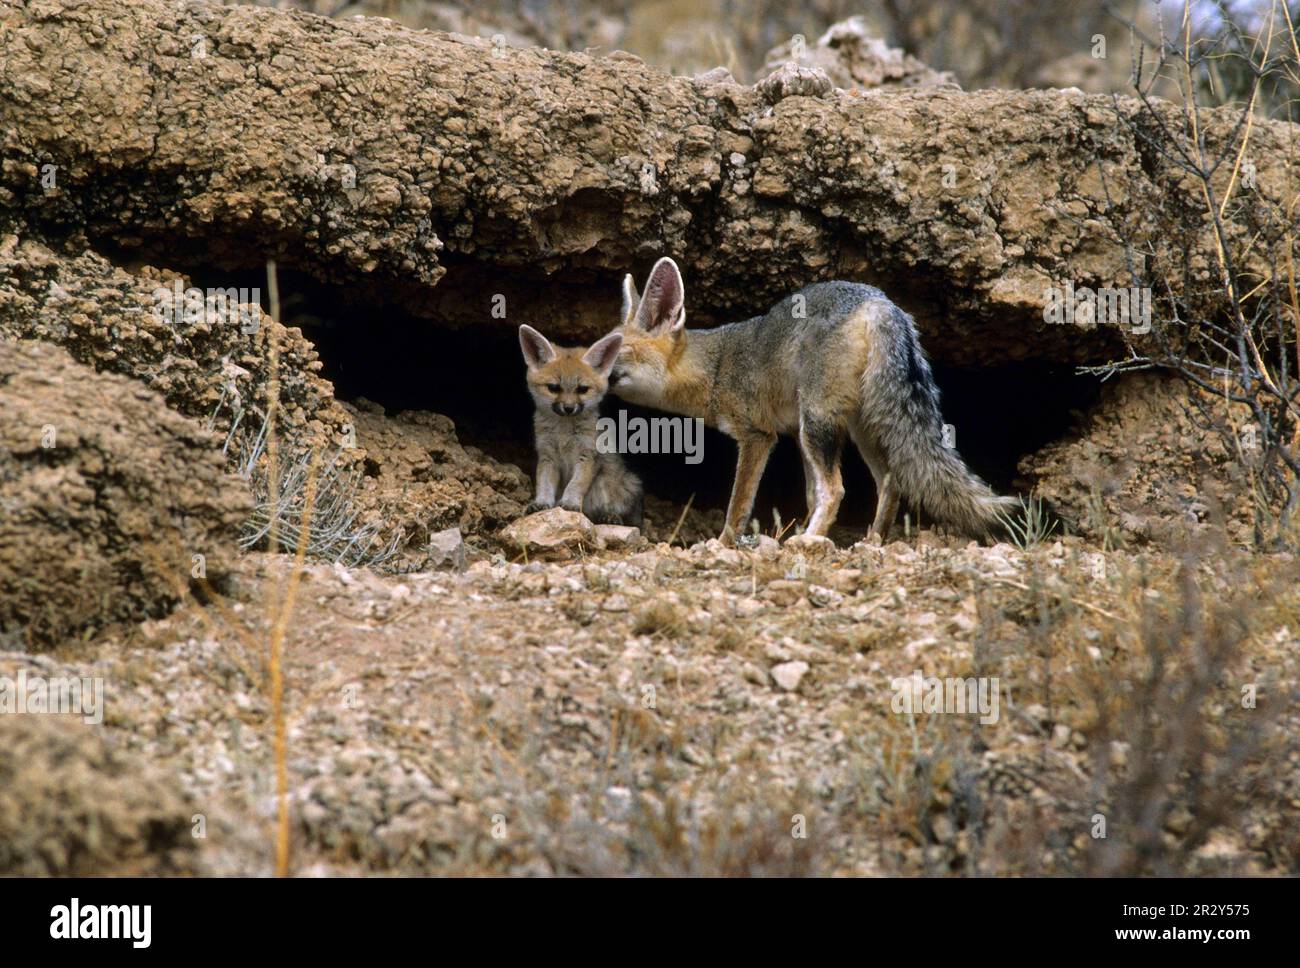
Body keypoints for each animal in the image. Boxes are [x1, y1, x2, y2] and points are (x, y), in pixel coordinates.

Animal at [518, 324, 644, 528]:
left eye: (582, 389)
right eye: (553, 388)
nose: (569, 408)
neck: (563, 433)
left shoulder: (587, 456)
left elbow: (576, 484)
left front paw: (570, 503)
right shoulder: (547, 456)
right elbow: (544, 484)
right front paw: (542, 503)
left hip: (614, 483)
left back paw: (611, 516)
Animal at [609, 257, 1019, 544]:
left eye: (615, 350)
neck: (718, 365)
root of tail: (881, 303)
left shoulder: (759, 436)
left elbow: (739, 504)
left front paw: (723, 543)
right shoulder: (792, 433)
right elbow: (809, 494)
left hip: (819, 423)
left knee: (838, 488)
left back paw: (810, 541)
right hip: (853, 428)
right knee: (889, 482)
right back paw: (871, 540)